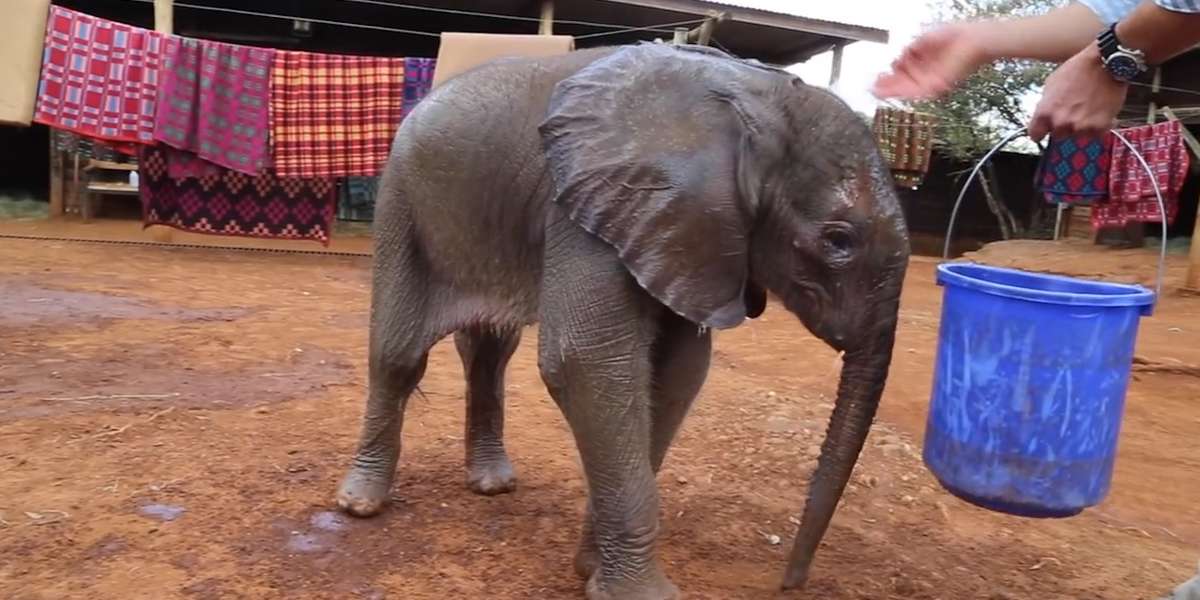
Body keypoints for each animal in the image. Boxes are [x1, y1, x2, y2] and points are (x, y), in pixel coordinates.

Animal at [335, 42, 910, 599]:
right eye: (838, 241)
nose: (788, 582)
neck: (762, 97)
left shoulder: (685, 230)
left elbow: (677, 372)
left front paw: (590, 568)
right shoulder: (595, 202)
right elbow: (584, 361)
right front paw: (639, 593)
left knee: (490, 352)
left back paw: (492, 485)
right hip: (403, 202)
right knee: (399, 354)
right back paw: (360, 505)